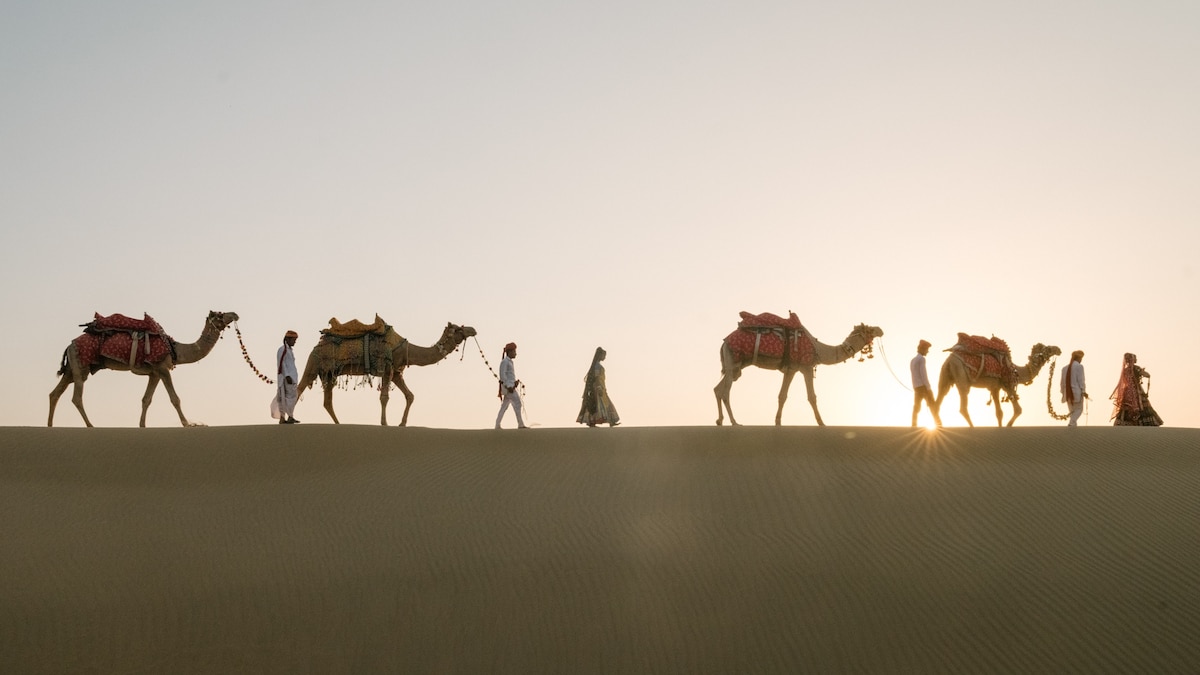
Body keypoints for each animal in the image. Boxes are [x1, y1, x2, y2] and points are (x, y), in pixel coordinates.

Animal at [48, 310, 239, 427]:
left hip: (72, 369)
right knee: (76, 397)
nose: (235, 314)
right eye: (220, 314)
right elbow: (175, 398)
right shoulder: (162, 368)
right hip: (81, 364)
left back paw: (50, 425)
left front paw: (142, 425)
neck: (175, 348)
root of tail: (69, 345)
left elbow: (146, 400)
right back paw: (90, 425)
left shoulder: (154, 373)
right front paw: (187, 424)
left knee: (55, 393)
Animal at [296, 321, 477, 426]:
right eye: (459, 328)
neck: (406, 350)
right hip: (313, 364)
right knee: (299, 388)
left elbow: (410, 395)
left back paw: (339, 424)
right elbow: (384, 397)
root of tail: (317, 345)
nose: (473, 329)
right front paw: (385, 423)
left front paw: (402, 424)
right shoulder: (387, 367)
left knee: (327, 401)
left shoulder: (396, 372)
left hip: (329, 373)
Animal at [715, 320, 884, 426]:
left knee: (717, 389)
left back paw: (720, 421)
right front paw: (822, 423)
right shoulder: (806, 367)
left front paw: (778, 423)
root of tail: (724, 343)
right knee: (725, 392)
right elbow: (812, 397)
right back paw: (735, 422)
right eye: (869, 329)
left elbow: (782, 396)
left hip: (735, 367)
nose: (880, 329)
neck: (819, 349)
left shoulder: (791, 369)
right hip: (733, 362)